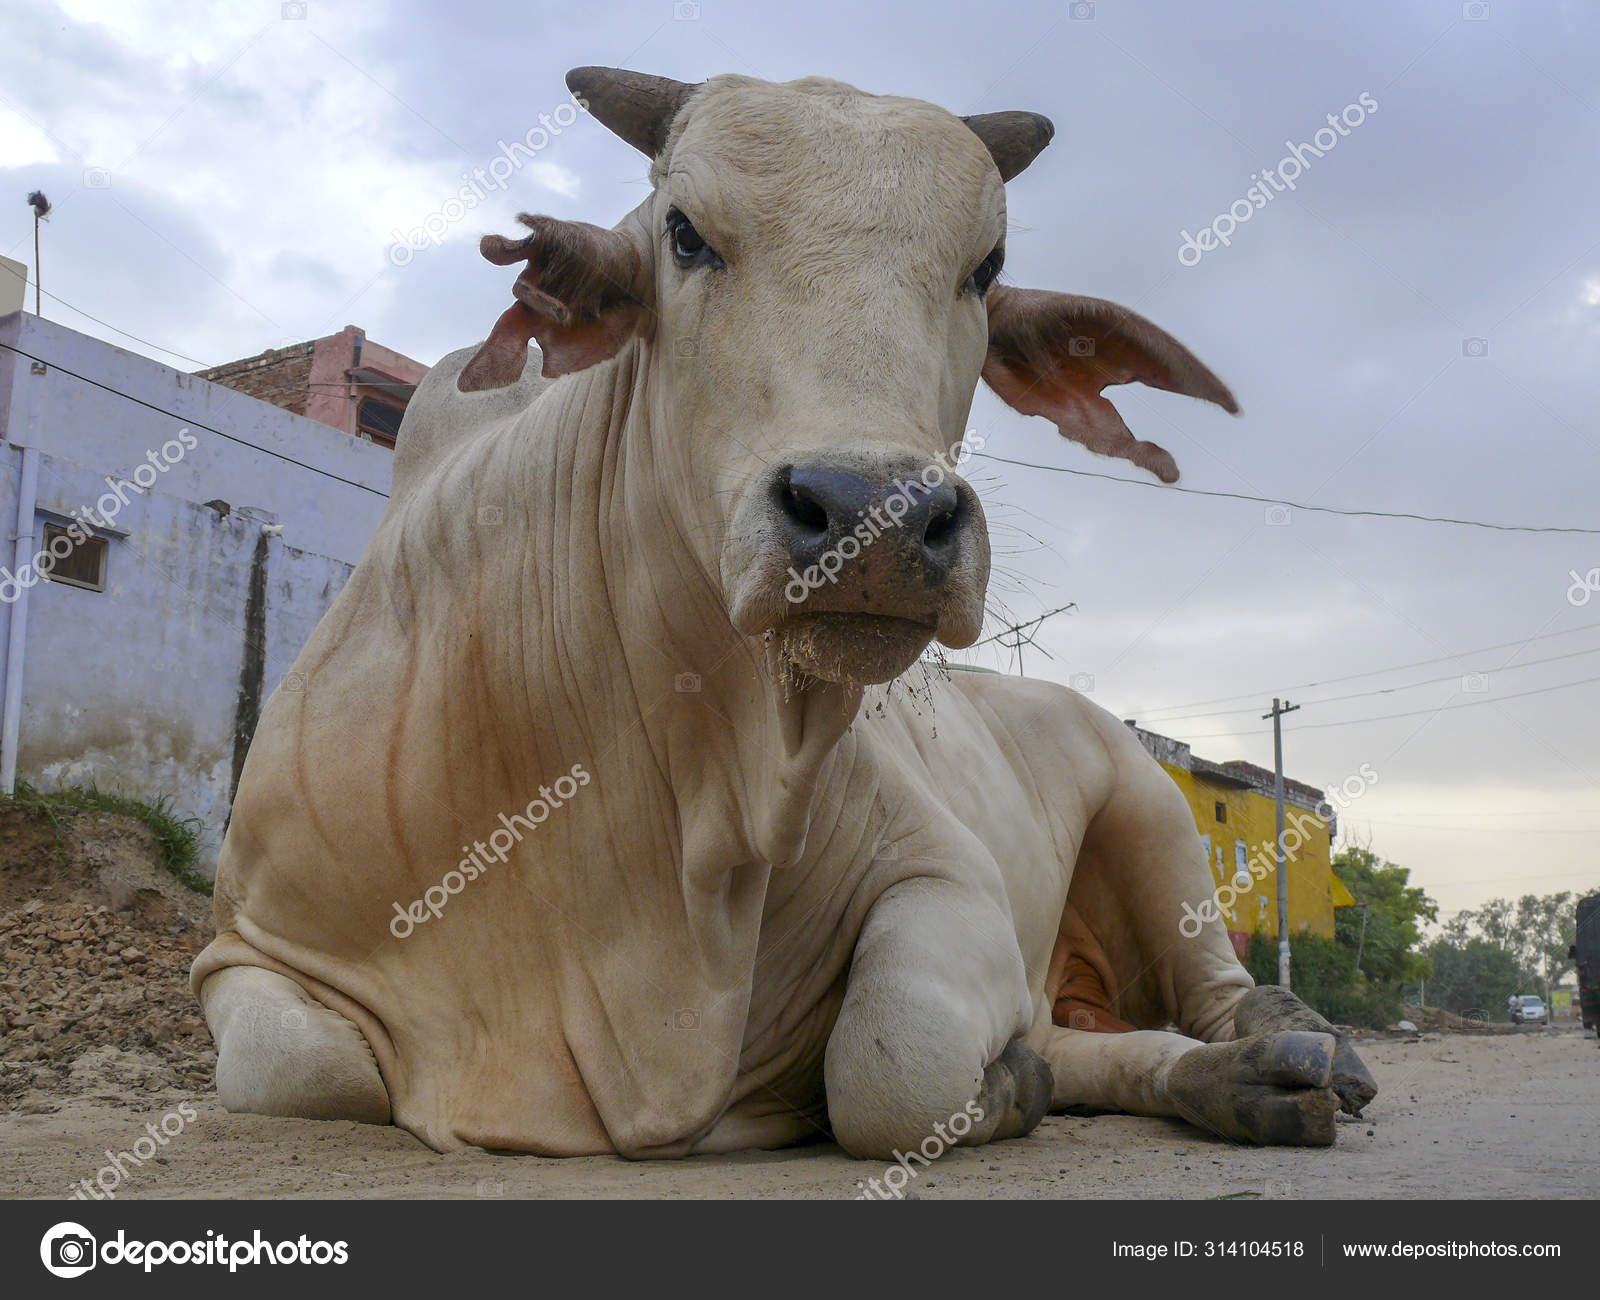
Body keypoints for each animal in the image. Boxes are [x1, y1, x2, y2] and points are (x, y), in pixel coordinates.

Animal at [192, 67, 1376, 1160]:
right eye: (683, 235)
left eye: (985, 269)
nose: (875, 519)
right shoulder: (247, 948)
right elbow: (305, 1067)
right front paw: (1024, 1080)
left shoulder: (944, 870)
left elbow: (889, 1066)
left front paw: (1002, 1085)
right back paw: (1231, 1081)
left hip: (1149, 809)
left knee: (1214, 982)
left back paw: (1290, 1049)